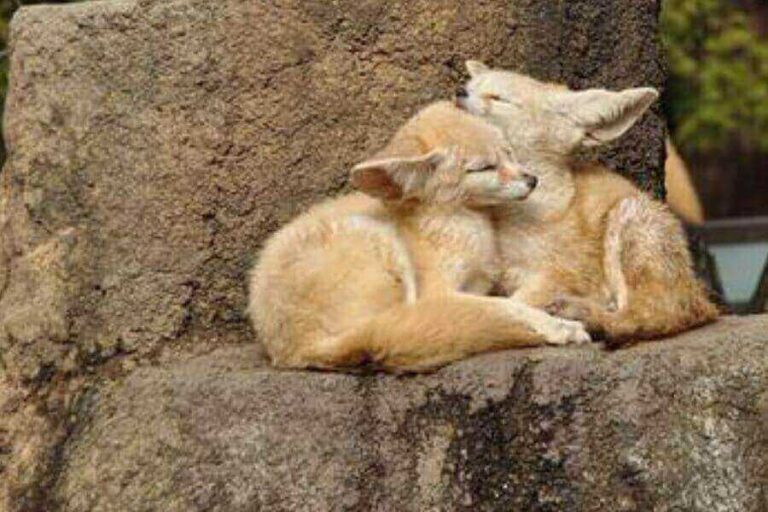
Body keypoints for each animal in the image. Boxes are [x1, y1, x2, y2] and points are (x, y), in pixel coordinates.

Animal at [247, 101, 590, 372]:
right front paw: (558, 325)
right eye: (485, 167)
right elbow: (503, 307)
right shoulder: (438, 291)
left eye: (509, 153)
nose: (533, 180)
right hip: (380, 245)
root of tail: (295, 348)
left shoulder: (479, 281)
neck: (459, 221)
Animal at [455, 61, 718, 347]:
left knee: (654, 312)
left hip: (627, 221)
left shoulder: (558, 275)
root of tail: (699, 294)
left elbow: (508, 307)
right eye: (470, 87)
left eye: (498, 98)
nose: (459, 92)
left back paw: (588, 317)